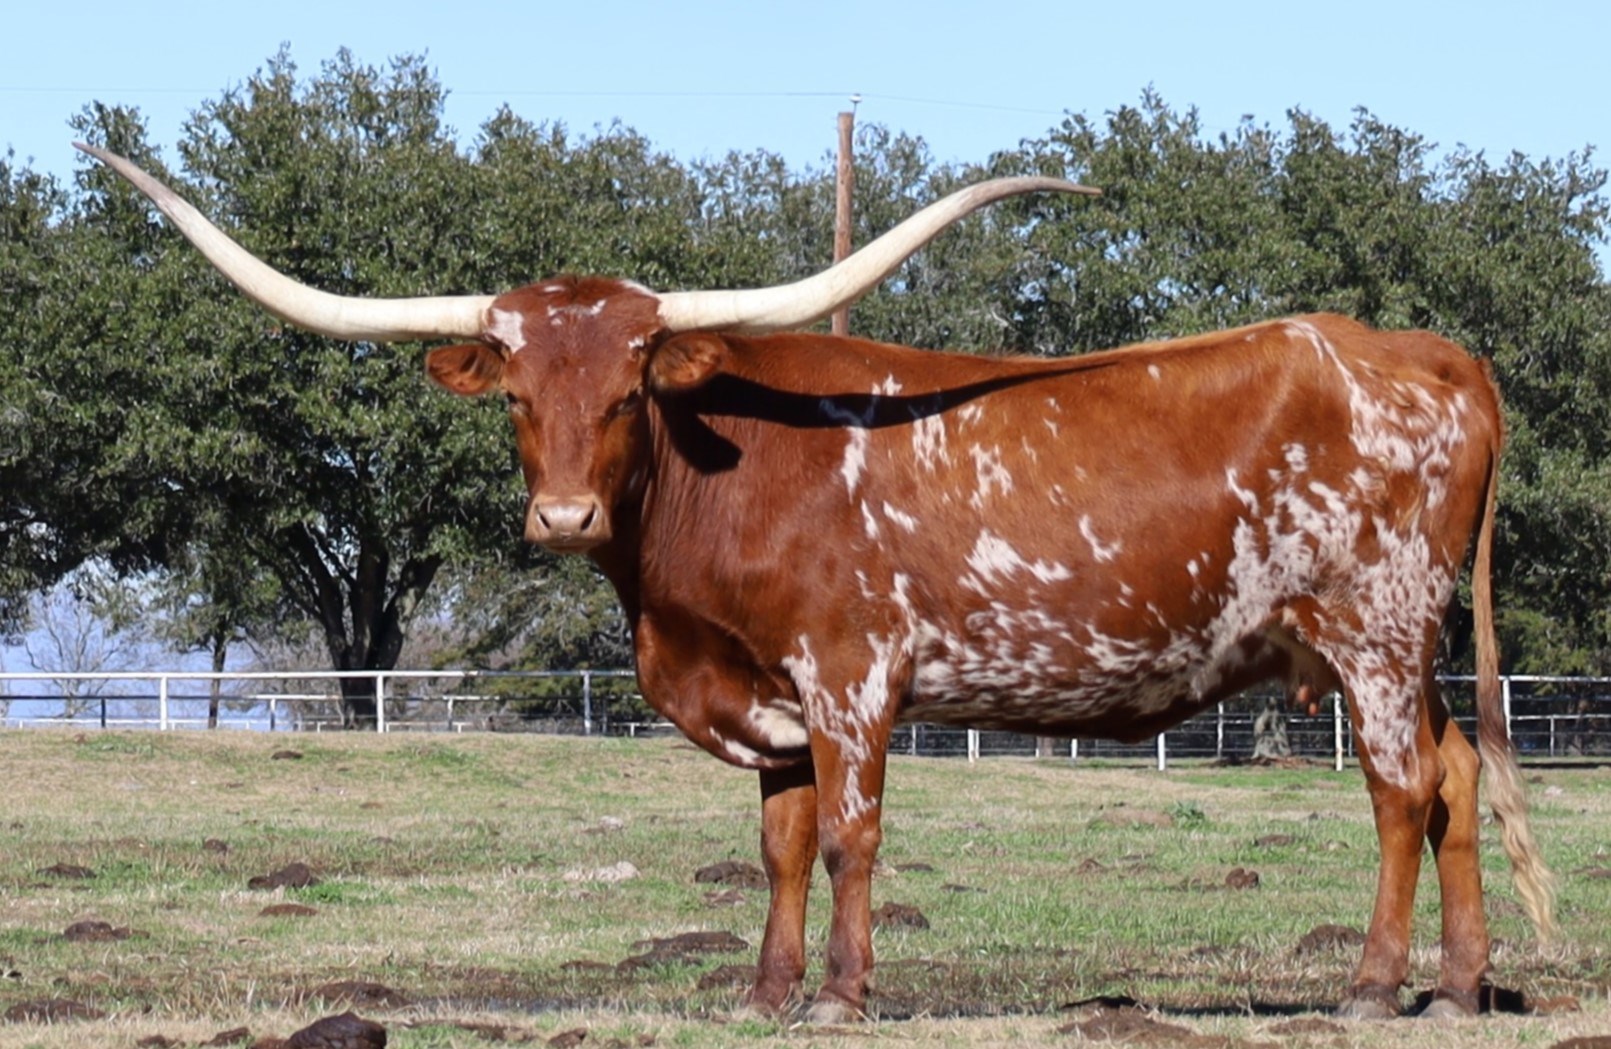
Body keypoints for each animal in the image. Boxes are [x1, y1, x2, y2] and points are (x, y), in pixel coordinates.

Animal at [80, 144, 1555, 1023]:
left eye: (628, 386)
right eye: (515, 394)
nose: (561, 515)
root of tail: (1426, 350)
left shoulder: (851, 673)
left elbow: (851, 834)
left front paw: (844, 992)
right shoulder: (770, 694)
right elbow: (781, 842)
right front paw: (766, 990)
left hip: (1370, 631)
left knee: (1399, 789)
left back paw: (1369, 984)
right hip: (1401, 642)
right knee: (1455, 777)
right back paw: (1457, 985)